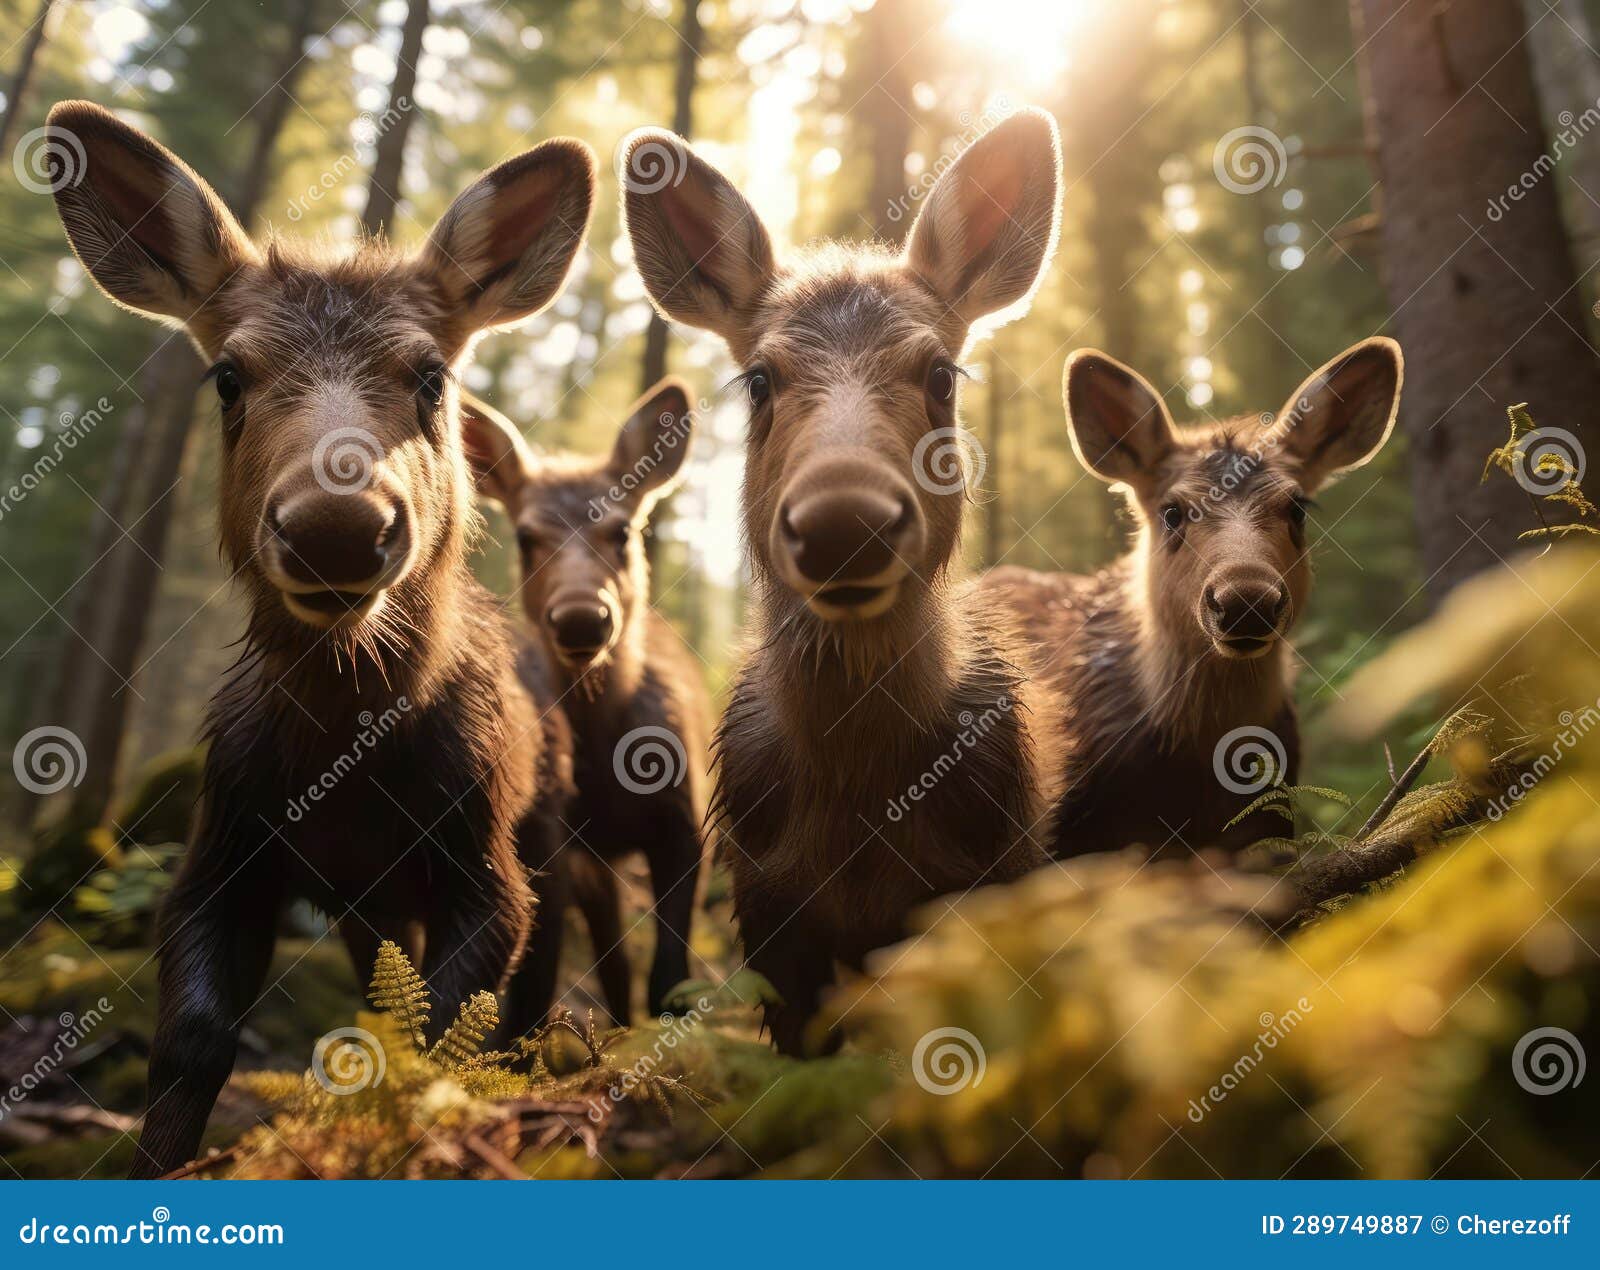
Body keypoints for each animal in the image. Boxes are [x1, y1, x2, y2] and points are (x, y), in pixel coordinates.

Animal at [44, 100, 595, 1176]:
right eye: (227, 376)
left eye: (432, 376)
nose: (336, 524)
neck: (346, 759)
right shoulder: (225, 848)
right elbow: (191, 1040)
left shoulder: (484, 859)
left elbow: (442, 1026)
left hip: (545, 828)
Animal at [459, 379, 710, 1023]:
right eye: (526, 537)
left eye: (621, 531)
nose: (580, 618)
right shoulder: (549, 842)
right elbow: (533, 987)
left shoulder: (687, 820)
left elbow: (669, 981)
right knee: (610, 967)